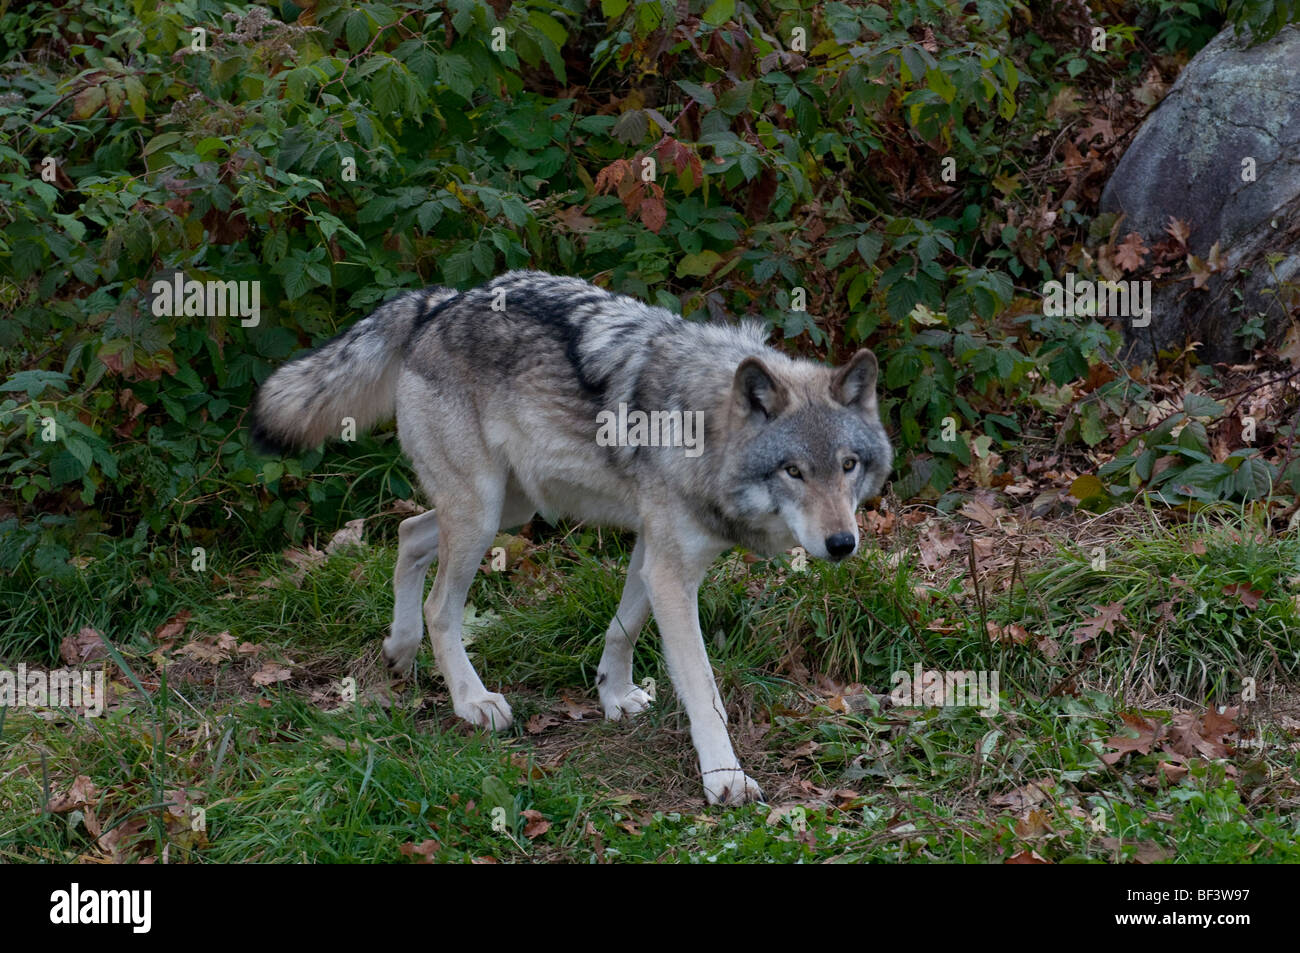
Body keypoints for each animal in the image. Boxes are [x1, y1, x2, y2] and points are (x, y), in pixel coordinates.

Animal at [250, 271, 892, 804]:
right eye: (793, 471)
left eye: (848, 465)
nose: (842, 544)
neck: (704, 430)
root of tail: (441, 302)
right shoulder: (671, 569)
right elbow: (703, 687)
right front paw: (725, 778)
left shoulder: (654, 551)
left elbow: (623, 627)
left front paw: (613, 695)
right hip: (482, 516)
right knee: (439, 605)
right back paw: (471, 701)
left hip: (507, 508)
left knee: (408, 535)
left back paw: (400, 651)